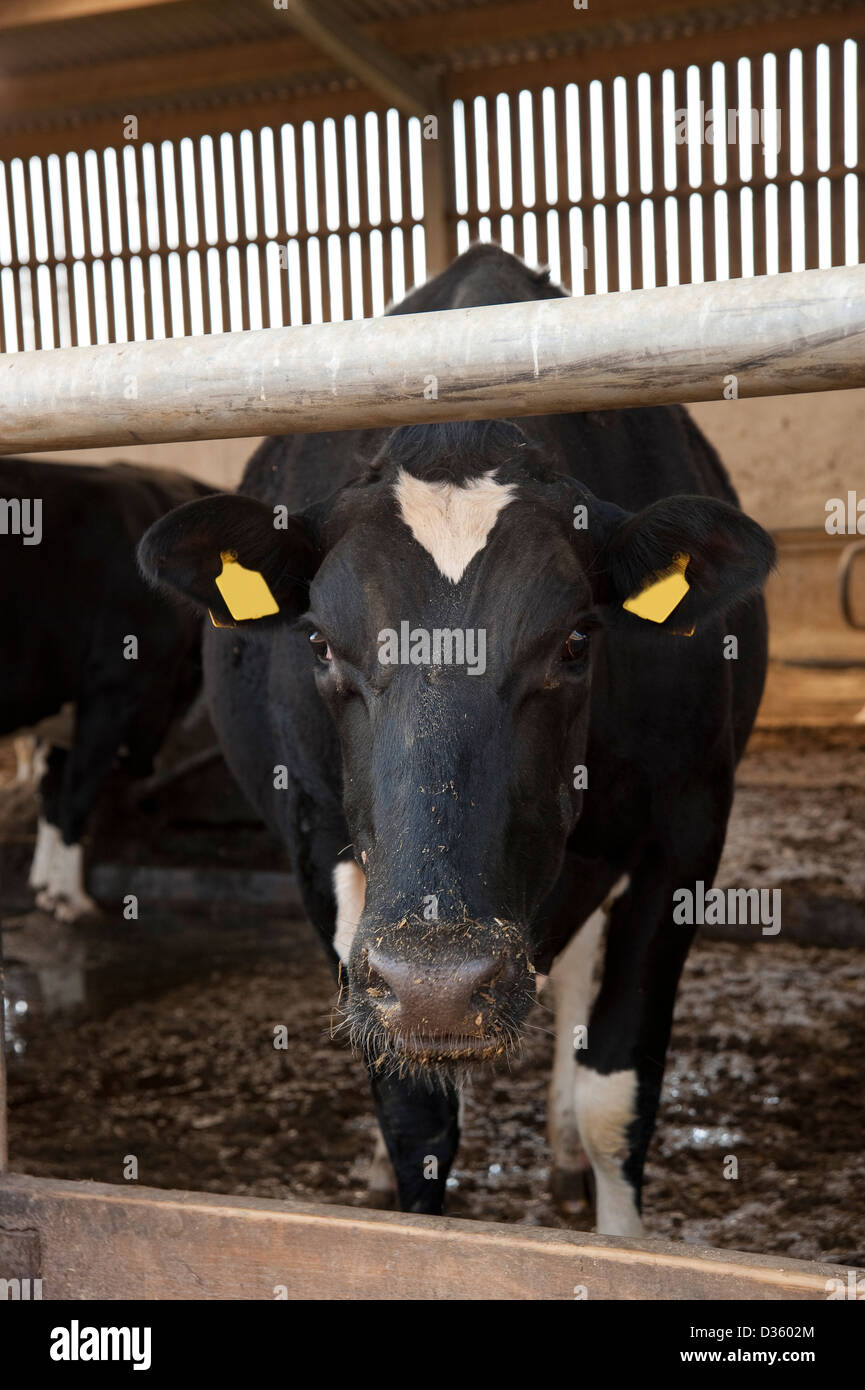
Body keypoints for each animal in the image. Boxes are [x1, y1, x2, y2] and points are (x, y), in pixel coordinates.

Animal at [1, 457, 211, 921]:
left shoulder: (65, 709)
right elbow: (77, 794)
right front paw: (71, 900)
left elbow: (52, 793)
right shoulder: (113, 687)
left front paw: (48, 889)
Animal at [138, 245, 773, 1235]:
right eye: (319, 643)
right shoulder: (317, 840)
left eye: (576, 640)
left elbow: (616, 1091)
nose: (441, 977)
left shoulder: (689, 818)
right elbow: (412, 1110)